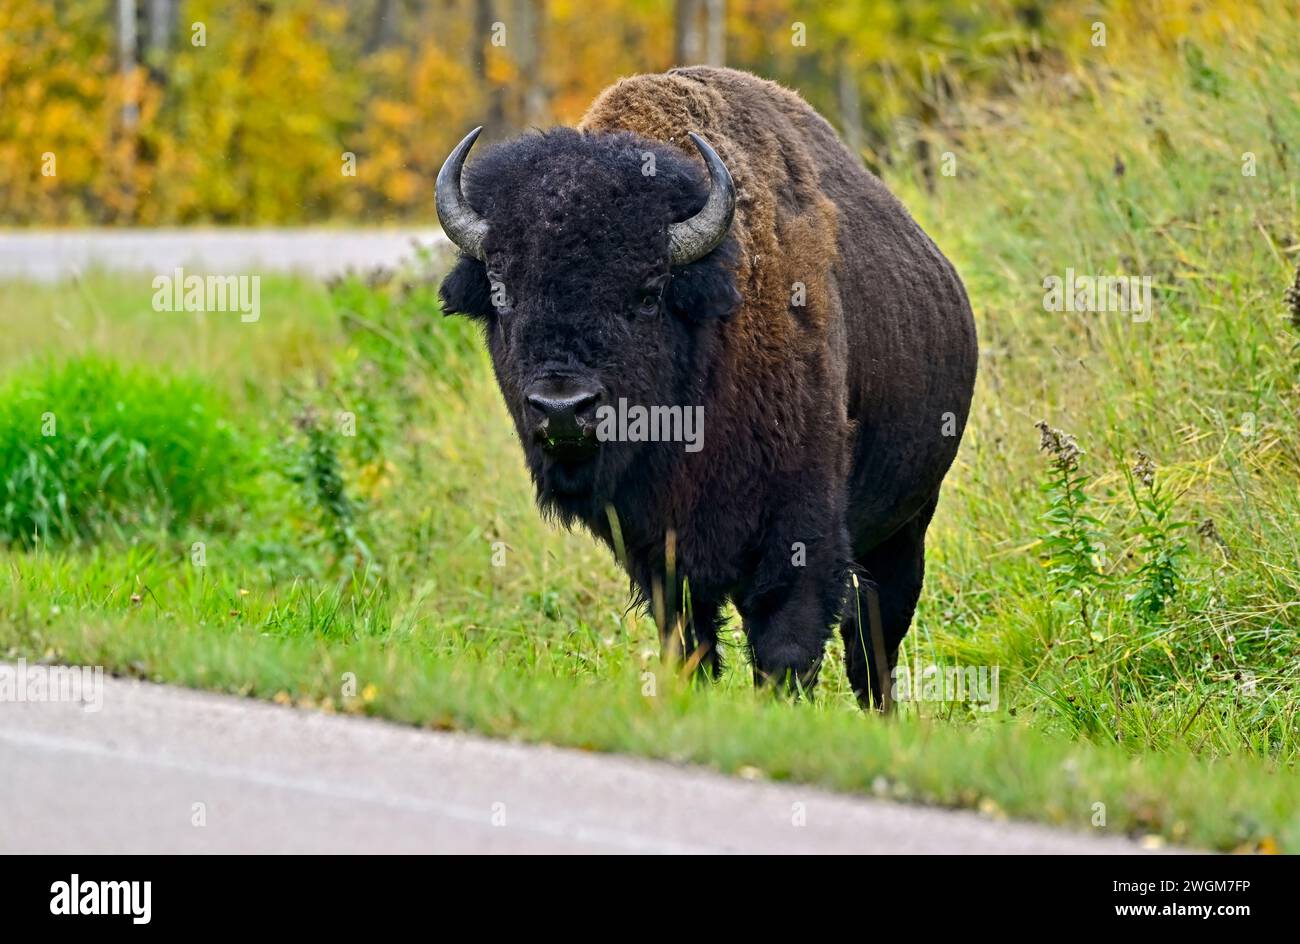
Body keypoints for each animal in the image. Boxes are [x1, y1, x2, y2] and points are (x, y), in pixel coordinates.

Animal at [437, 66, 977, 708]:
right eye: (501, 290)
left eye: (649, 292)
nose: (563, 408)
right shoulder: (657, 553)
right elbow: (689, 641)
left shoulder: (800, 534)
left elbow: (787, 645)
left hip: (907, 526)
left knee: (873, 646)